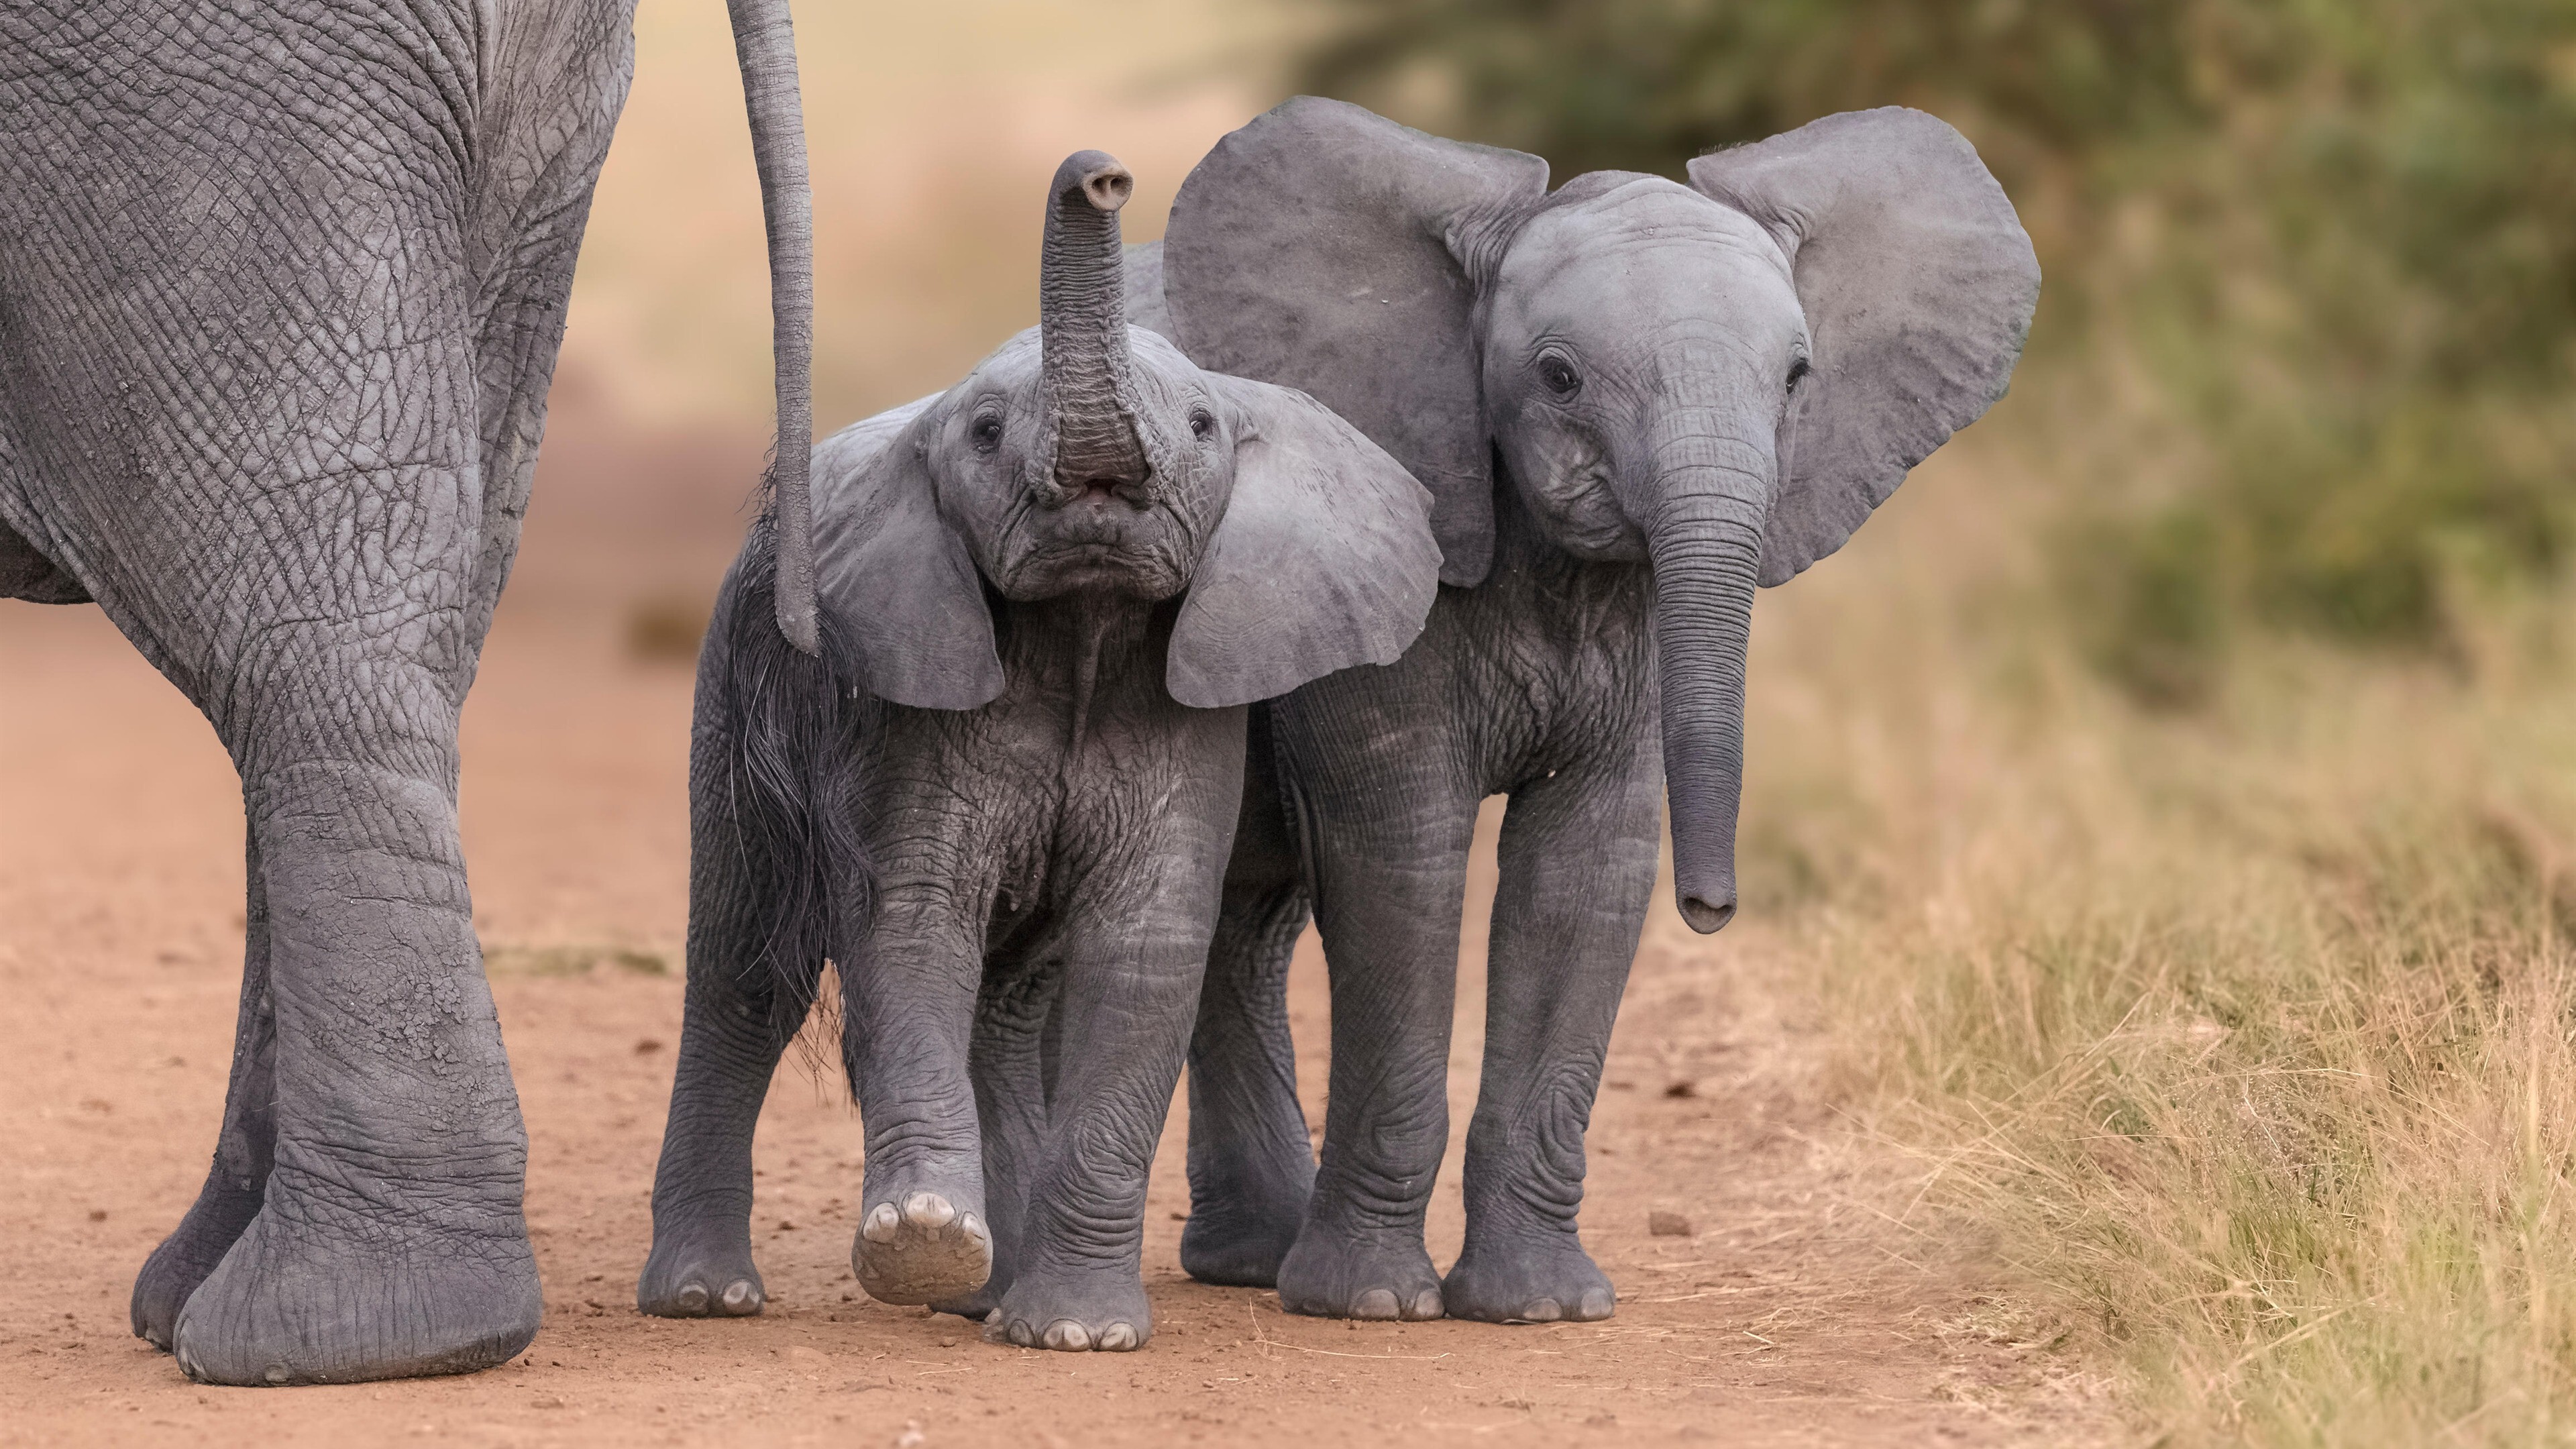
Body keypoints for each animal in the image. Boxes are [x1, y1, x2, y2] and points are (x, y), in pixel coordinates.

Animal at [636, 152, 1440, 1353]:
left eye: (1203, 425)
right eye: (980, 433)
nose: (1103, 176)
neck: (1083, 625)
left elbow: (1142, 953)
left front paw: (1074, 1333)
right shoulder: (914, 705)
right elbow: (915, 924)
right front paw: (920, 1238)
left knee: (1007, 1004)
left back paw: (991, 1297)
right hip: (737, 683)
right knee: (745, 971)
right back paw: (707, 1297)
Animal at [1128, 98, 2039, 1324]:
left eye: (1799, 377)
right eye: (1558, 377)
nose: (1712, 906)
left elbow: (1581, 868)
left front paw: (1540, 1309)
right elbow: (1401, 855)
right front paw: (1373, 1306)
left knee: (1247, 919)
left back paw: (1250, 1263)